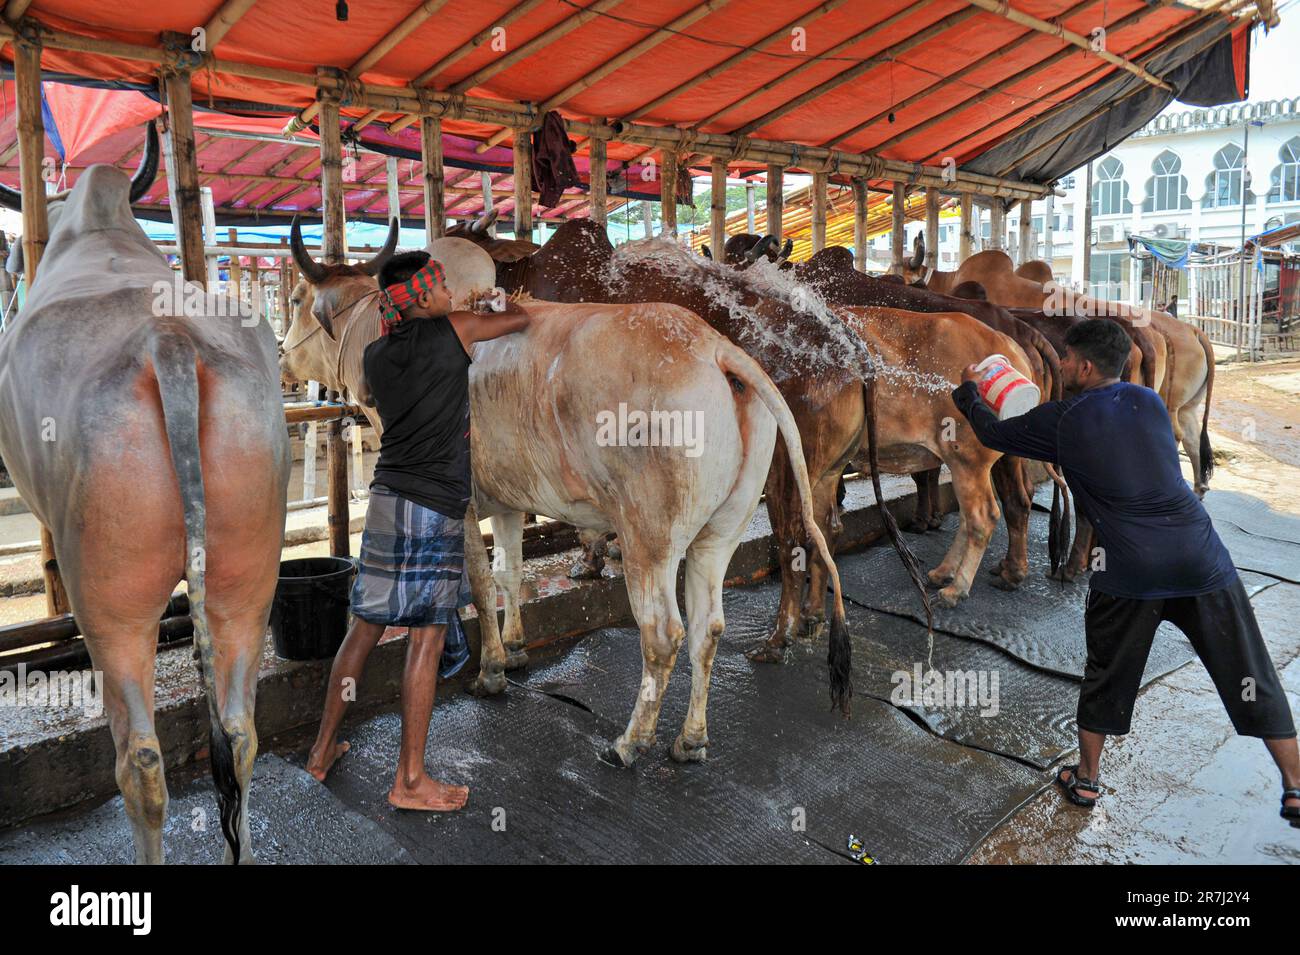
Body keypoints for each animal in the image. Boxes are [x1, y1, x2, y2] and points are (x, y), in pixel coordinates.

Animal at [282, 220, 857, 759]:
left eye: (295, 298)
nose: (284, 358)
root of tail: (716, 350)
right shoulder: (508, 501)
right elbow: (509, 574)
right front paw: (516, 647)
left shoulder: (460, 505)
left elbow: (480, 585)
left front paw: (491, 670)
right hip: (721, 531)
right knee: (708, 627)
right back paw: (691, 740)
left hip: (651, 537)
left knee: (663, 633)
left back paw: (631, 741)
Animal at [446, 217, 931, 667]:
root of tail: (847, 342)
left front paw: (590, 560)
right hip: (826, 471)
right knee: (826, 531)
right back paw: (812, 618)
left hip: (785, 467)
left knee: (794, 537)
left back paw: (779, 638)